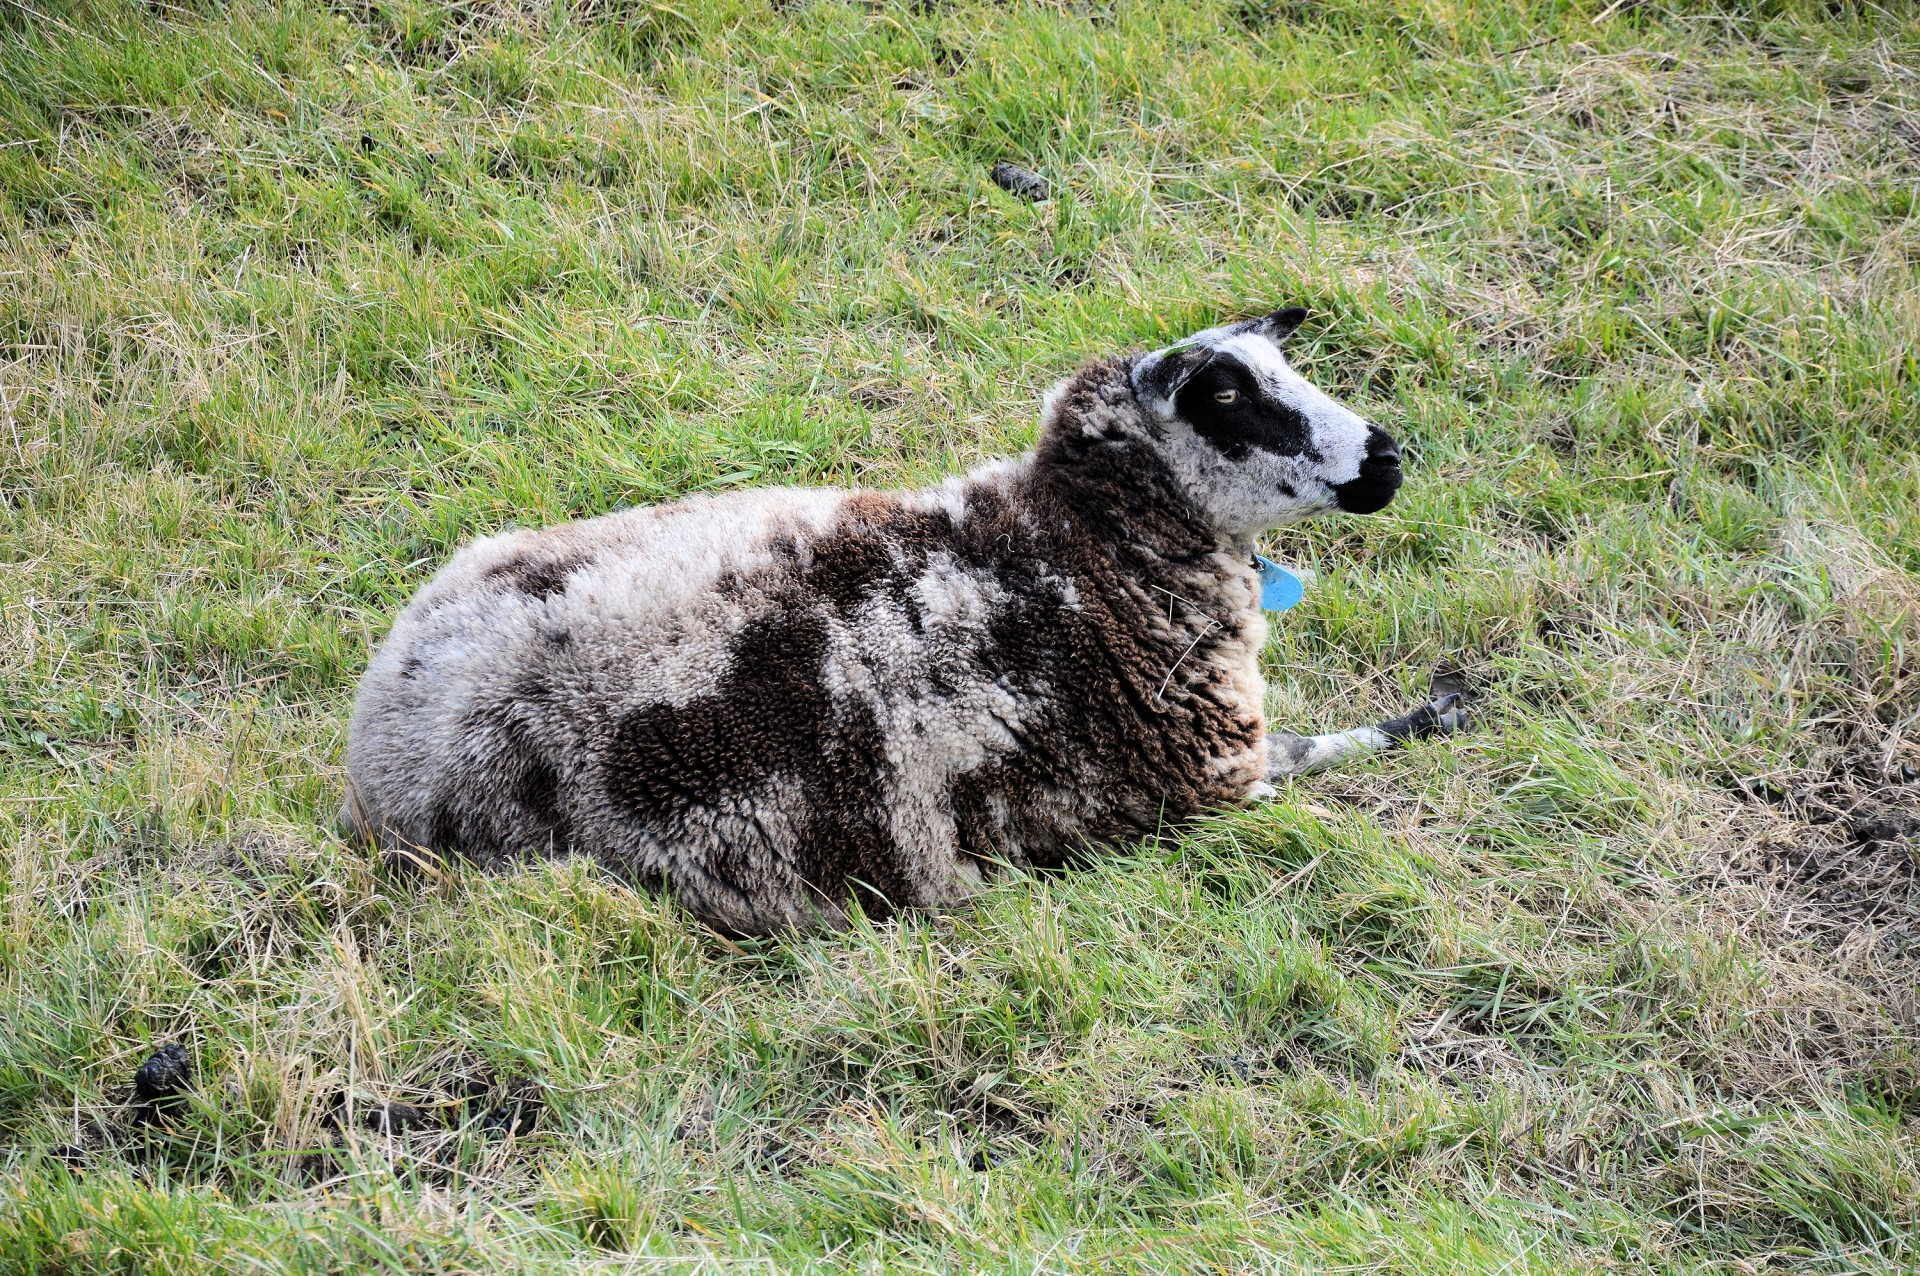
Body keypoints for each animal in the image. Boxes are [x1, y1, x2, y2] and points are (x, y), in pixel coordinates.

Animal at [341, 307, 1466, 934]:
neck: (1086, 559)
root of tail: (377, 735)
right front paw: (1441, 709)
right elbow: (1325, 751)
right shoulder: (1201, 789)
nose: (1387, 457)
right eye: (1228, 397)